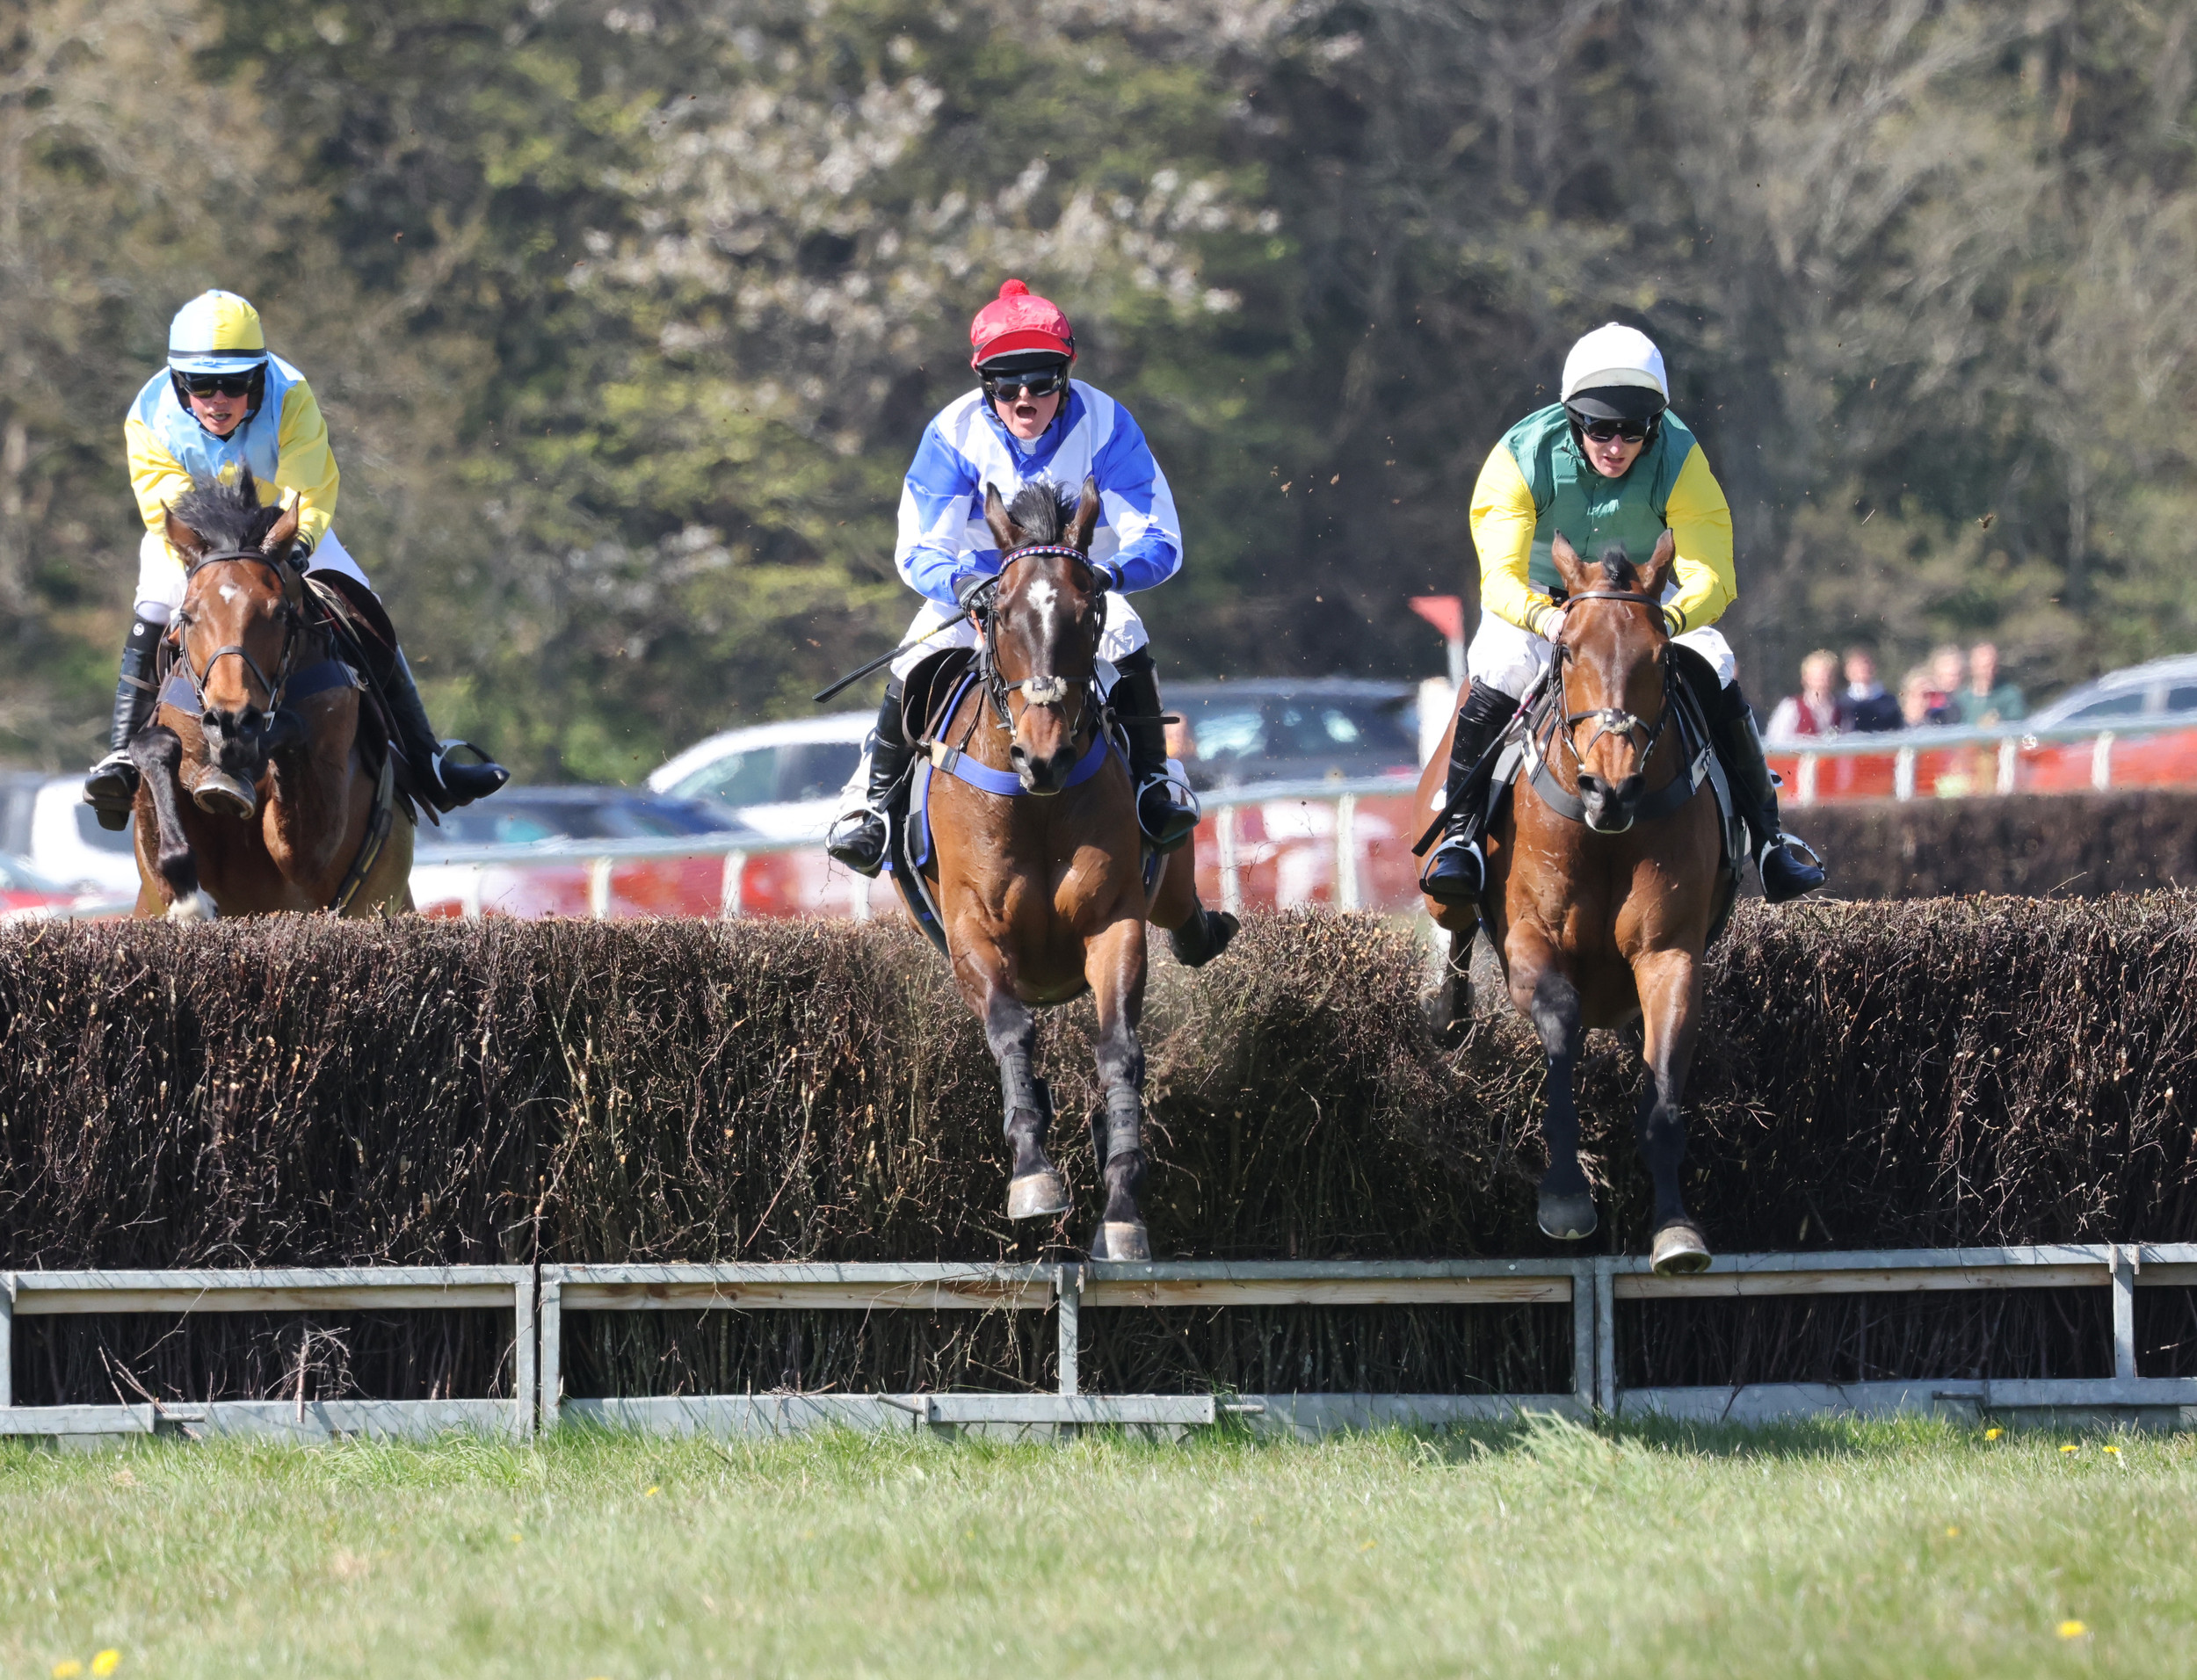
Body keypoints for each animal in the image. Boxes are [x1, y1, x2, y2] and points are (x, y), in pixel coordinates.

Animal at [128, 473, 414, 920]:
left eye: (280, 613)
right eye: (188, 616)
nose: (230, 723)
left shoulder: (314, 850)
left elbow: (292, 734)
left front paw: (243, 760)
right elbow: (153, 753)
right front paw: (190, 901)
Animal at [912, 475, 1236, 1260]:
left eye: (1089, 612)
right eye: (999, 611)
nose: (1045, 755)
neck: (1036, 803)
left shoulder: (1112, 922)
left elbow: (1120, 1050)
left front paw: (1121, 1206)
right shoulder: (972, 927)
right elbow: (1010, 1030)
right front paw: (1033, 1172)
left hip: (1167, 878)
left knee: (1180, 910)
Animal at [1418, 530, 1731, 1274]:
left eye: (1662, 655)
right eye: (1567, 651)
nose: (1609, 789)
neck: (1608, 832)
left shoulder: (1669, 954)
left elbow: (1662, 1095)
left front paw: (1675, 1226)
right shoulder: (1532, 936)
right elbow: (1559, 1018)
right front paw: (1564, 1197)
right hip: (1448, 883)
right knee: (1455, 927)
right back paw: (1449, 1013)